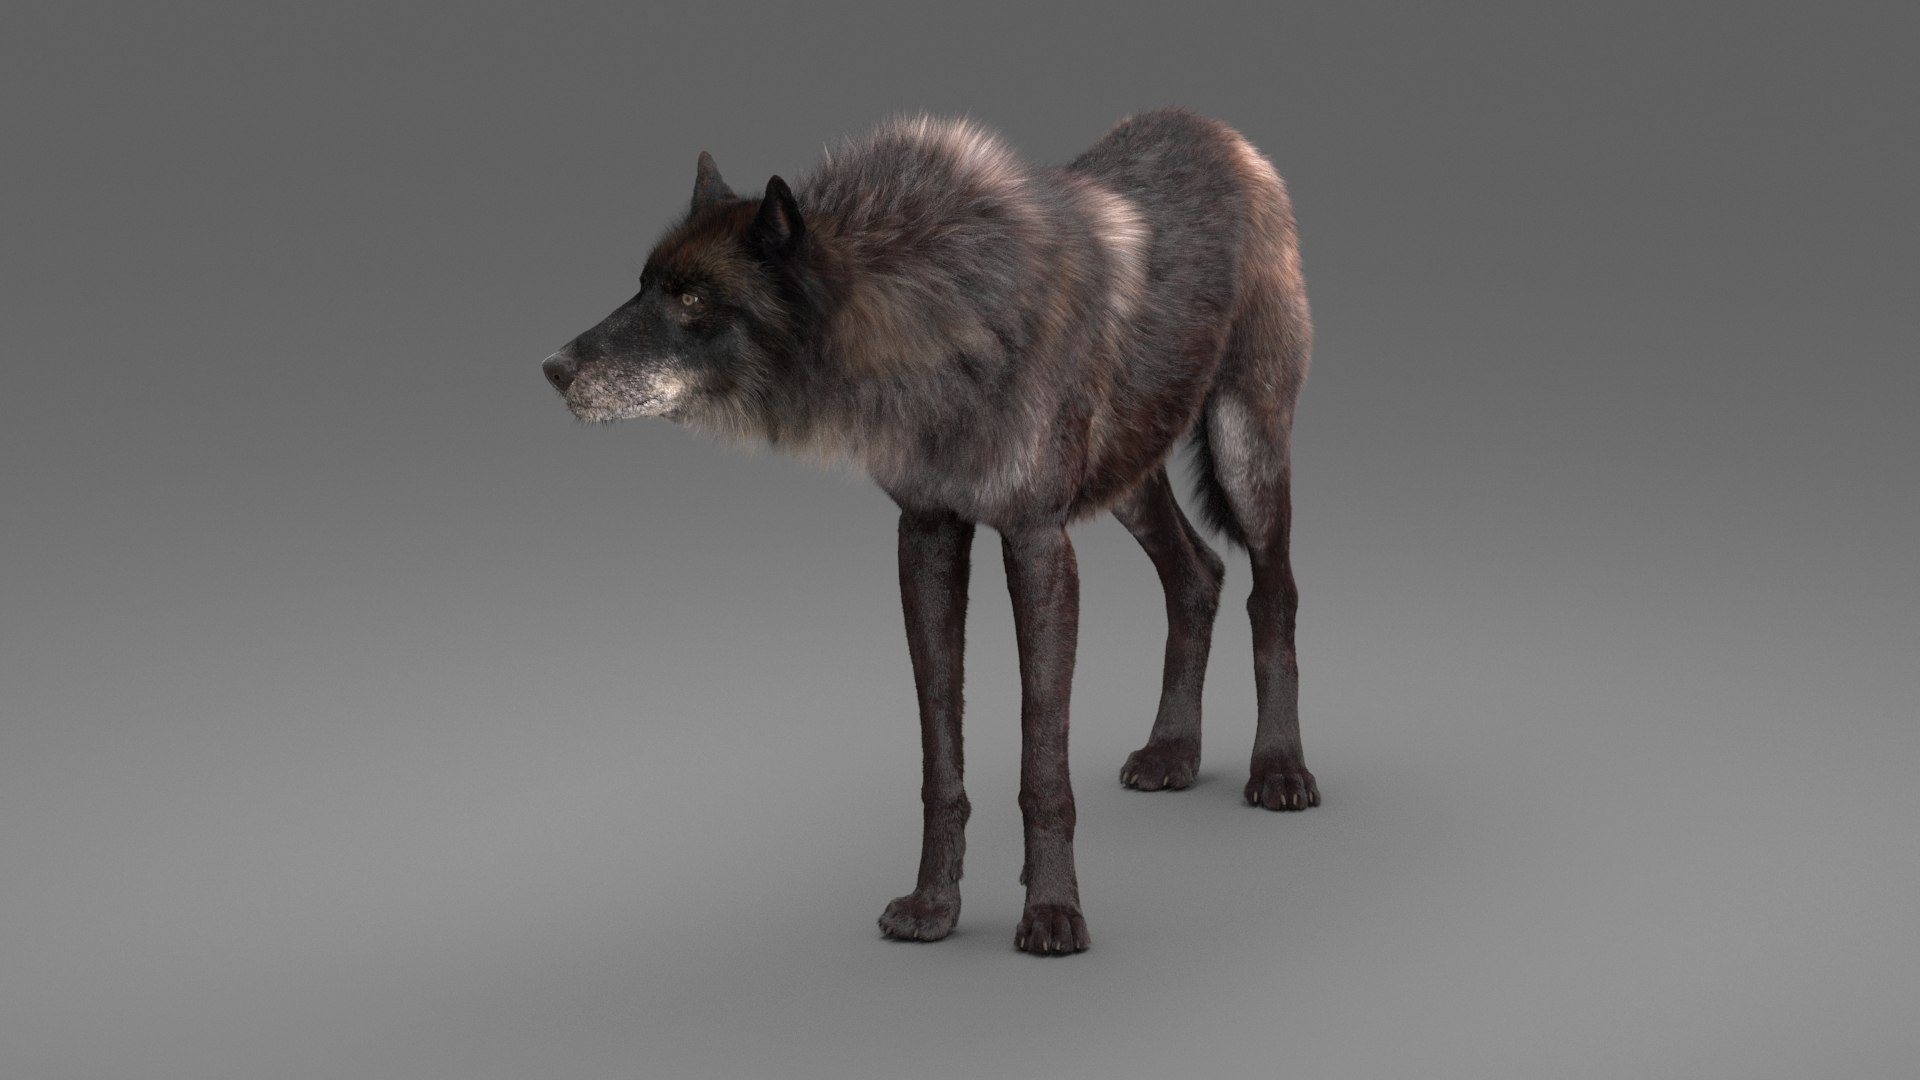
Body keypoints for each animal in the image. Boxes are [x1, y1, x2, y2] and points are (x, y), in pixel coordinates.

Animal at [541, 108, 1316, 954]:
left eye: (689, 299)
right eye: (644, 286)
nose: (552, 367)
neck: (931, 316)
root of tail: (1220, 134)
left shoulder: (1037, 540)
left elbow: (1042, 761)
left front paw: (1053, 912)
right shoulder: (927, 534)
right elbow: (940, 755)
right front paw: (934, 907)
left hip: (1243, 447)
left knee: (1273, 593)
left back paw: (1279, 770)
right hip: (1131, 476)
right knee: (1199, 574)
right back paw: (1174, 751)